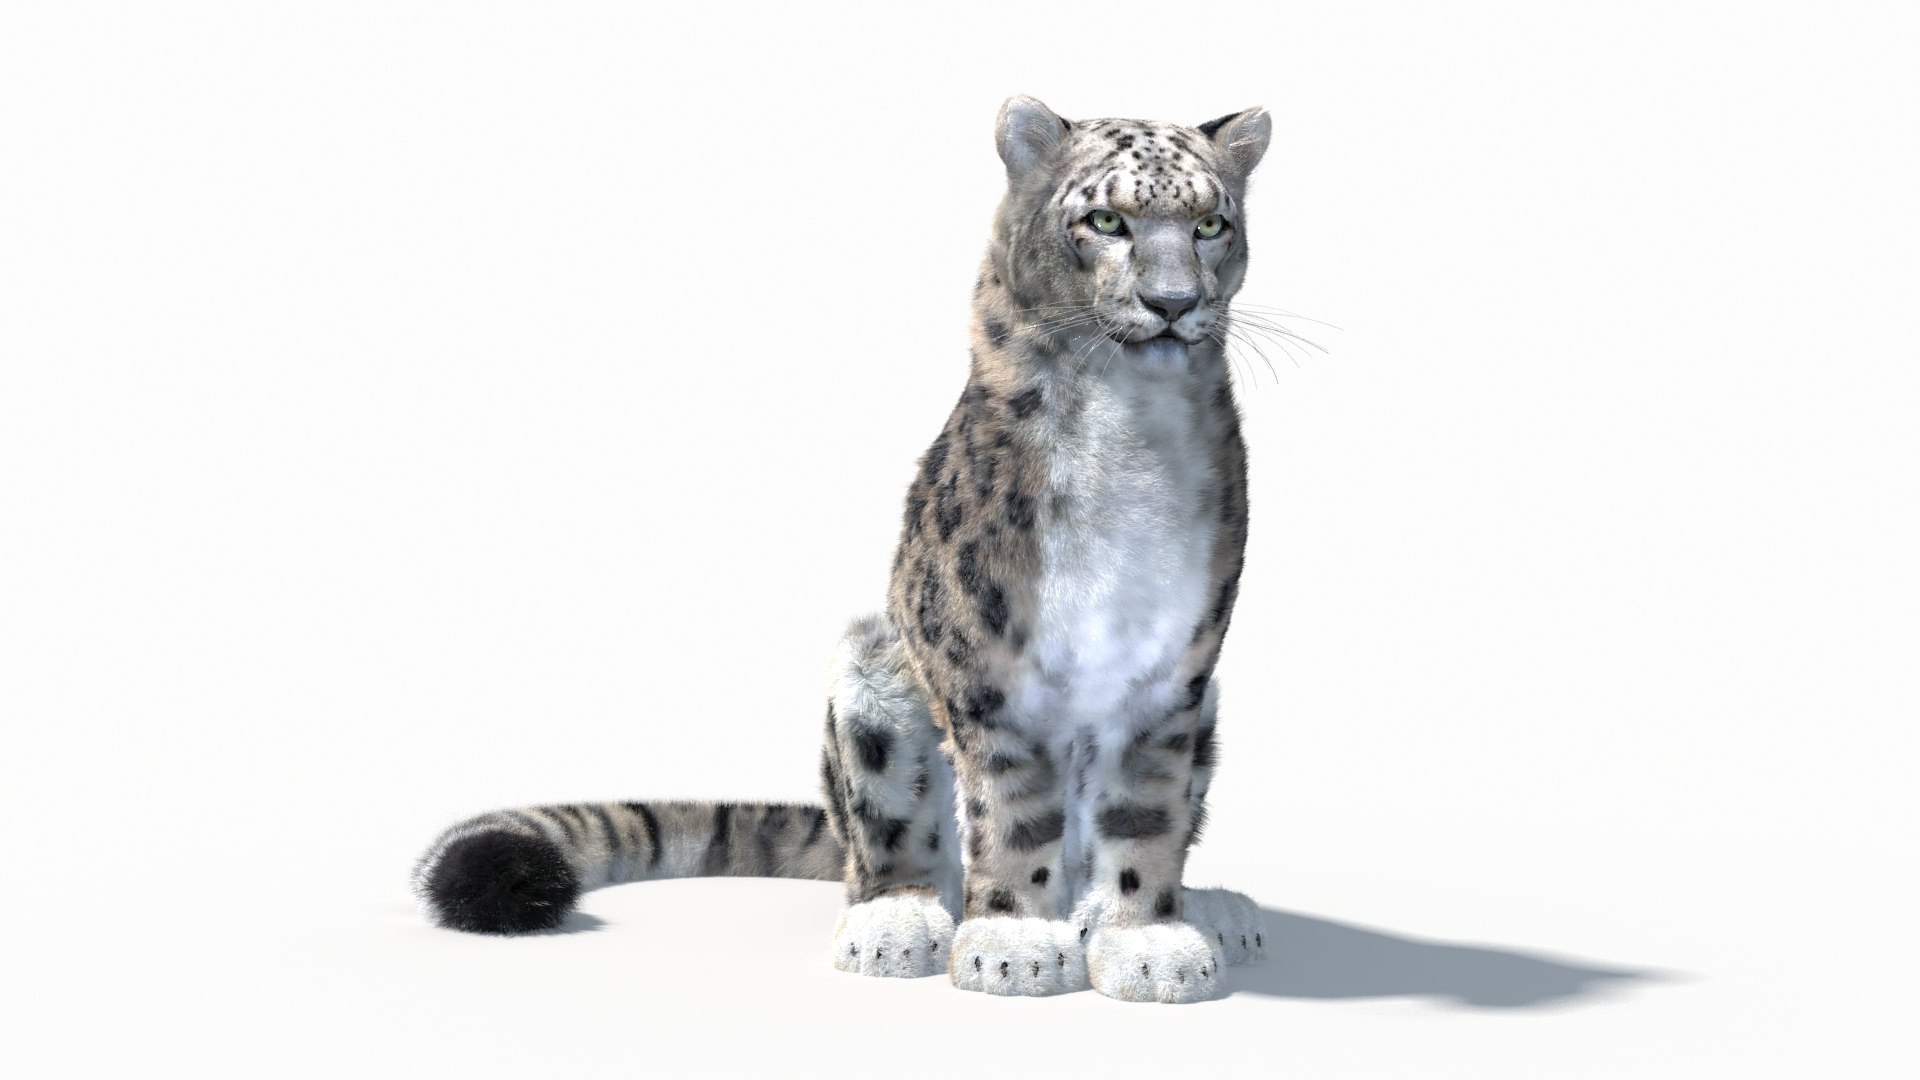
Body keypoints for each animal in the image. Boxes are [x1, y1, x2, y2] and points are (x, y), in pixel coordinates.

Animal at [412, 96, 1275, 1003]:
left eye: (1211, 223)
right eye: (1106, 220)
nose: (1173, 301)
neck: (1134, 431)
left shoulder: (1172, 672)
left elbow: (1145, 814)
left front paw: (1149, 940)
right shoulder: (987, 665)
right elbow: (1013, 806)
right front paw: (1013, 942)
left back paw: (1209, 910)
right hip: (874, 680)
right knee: (886, 851)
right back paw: (900, 922)